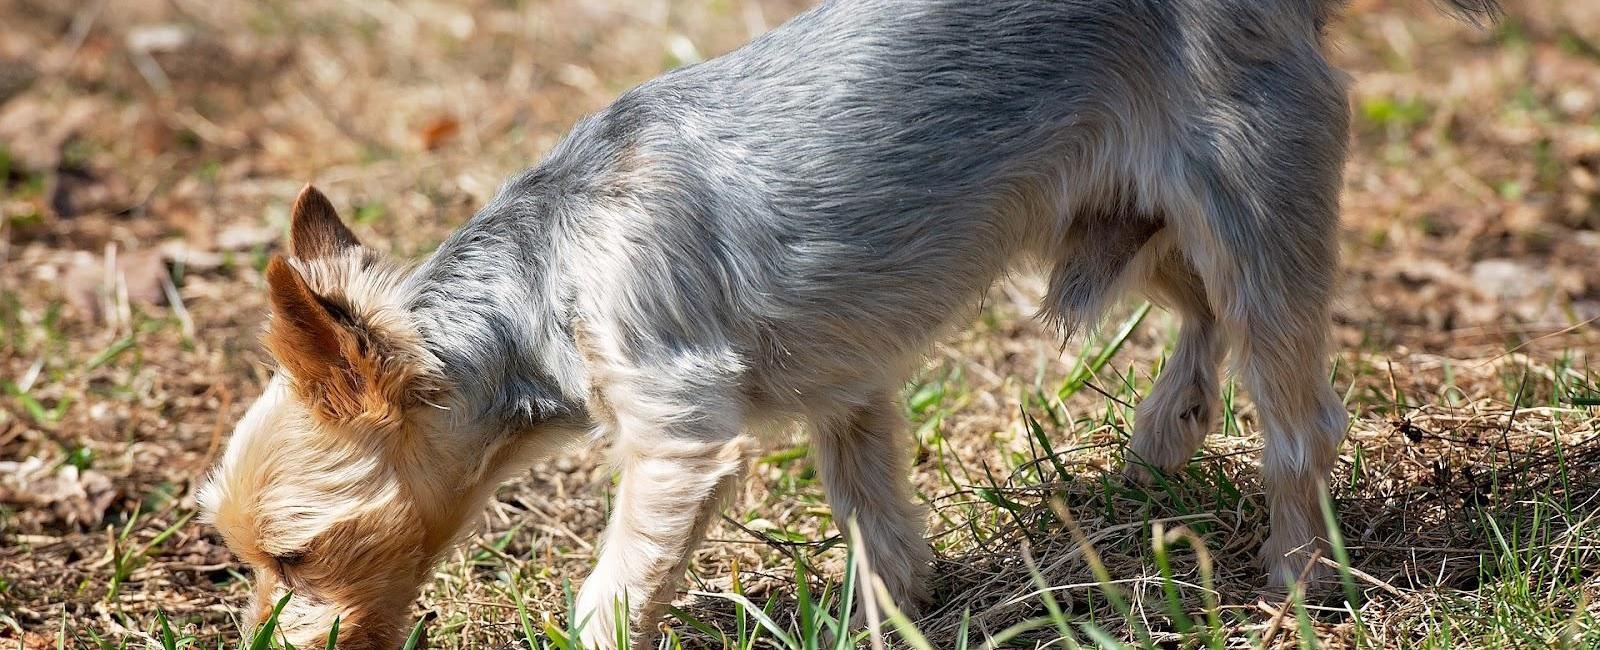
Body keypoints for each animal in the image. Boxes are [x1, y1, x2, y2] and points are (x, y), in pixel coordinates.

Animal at [196, 0, 1497, 643]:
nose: (259, 643)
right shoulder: (848, 385)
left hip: (1243, 185)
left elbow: (610, 588)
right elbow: (878, 514)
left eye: (294, 558)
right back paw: (1165, 424)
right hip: (1125, 219)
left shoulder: (678, 430)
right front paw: (889, 614)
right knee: (1202, 313)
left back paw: (1294, 575)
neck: (541, 278)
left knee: (1294, 403)